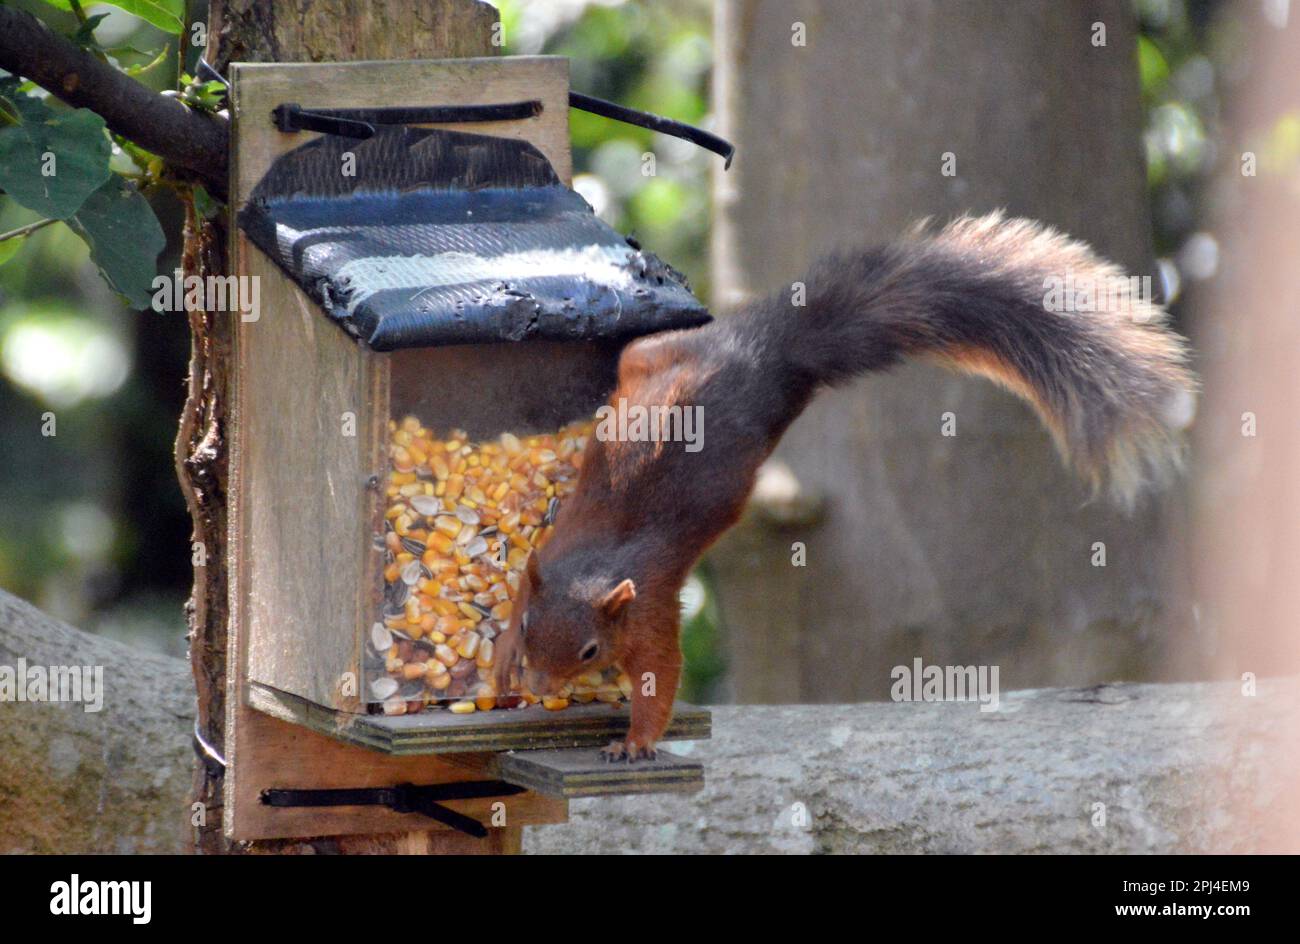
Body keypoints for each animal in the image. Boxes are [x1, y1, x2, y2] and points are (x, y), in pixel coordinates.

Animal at [494, 212, 1196, 761]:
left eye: (590, 650)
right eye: (530, 627)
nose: (543, 687)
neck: (592, 566)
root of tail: (771, 351)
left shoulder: (651, 610)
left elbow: (660, 677)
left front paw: (637, 742)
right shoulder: (547, 562)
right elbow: (517, 606)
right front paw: (502, 667)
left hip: (689, 368)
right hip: (668, 362)